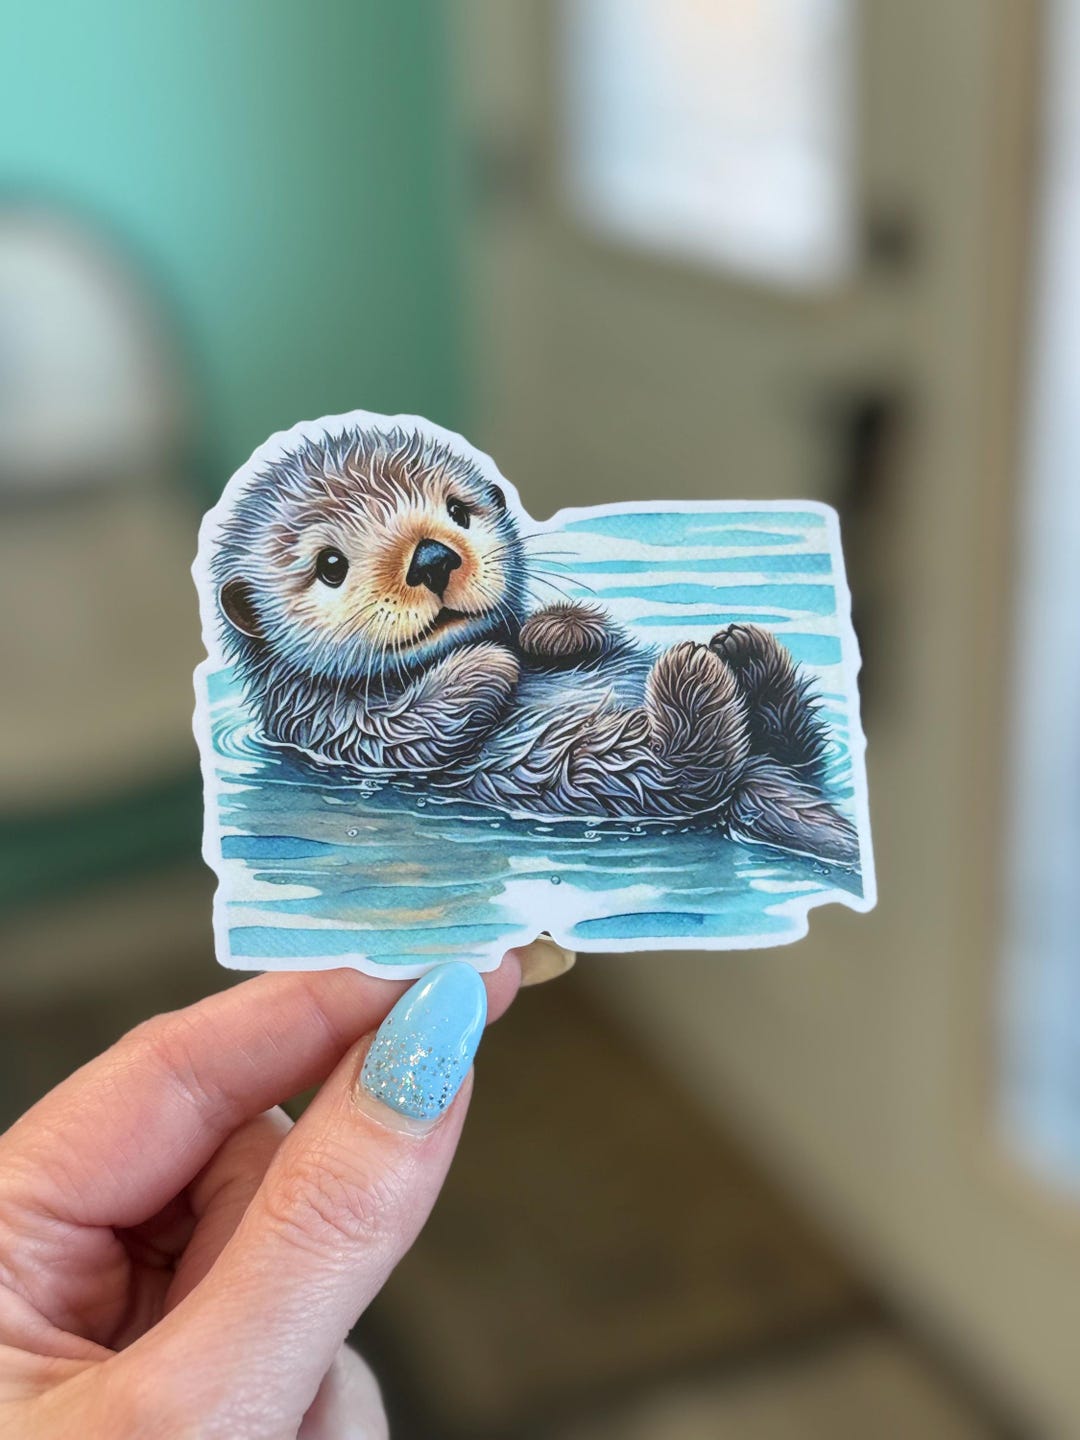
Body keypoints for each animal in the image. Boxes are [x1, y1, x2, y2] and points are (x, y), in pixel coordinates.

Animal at [211, 424, 858, 865]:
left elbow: (556, 631)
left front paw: (553, 629)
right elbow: (411, 731)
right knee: (701, 767)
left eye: (458, 510)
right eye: (330, 565)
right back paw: (695, 669)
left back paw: (744, 649)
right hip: (622, 774)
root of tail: (758, 774)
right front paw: (490, 661)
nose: (432, 557)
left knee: (799, 741)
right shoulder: (333, 732)